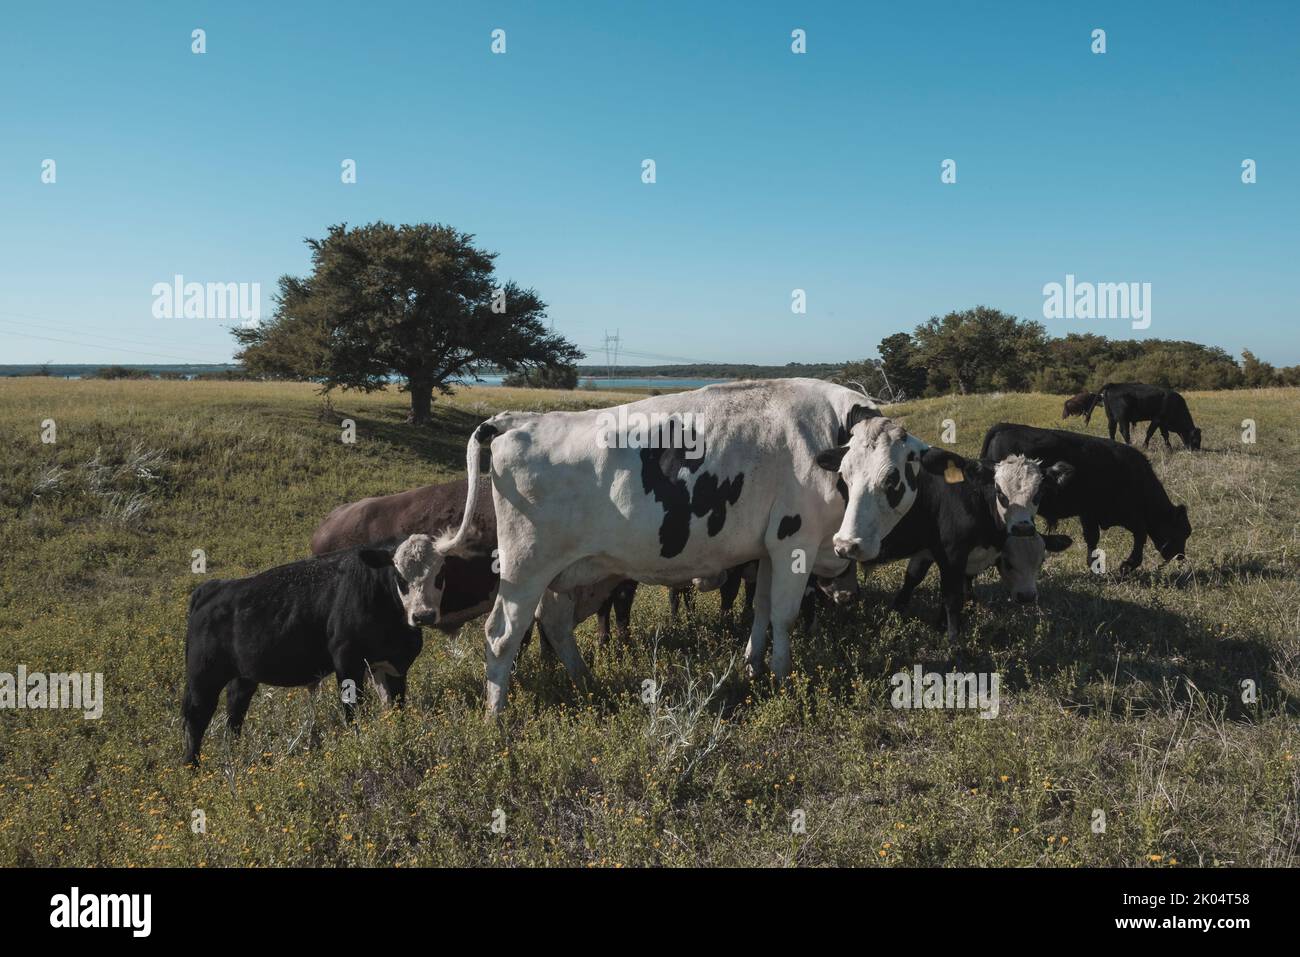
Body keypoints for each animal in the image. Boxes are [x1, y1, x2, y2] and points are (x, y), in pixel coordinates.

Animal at [181, 536, 440, 765]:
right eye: (399, 575)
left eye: (438, 574)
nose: (423, 615)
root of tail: (211, 587)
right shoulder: (347, 660)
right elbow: (352, 708)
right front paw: (358, 743)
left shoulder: (395, 665)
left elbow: (397, 705)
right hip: (203, 675)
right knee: (196, 717)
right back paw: (191, 768)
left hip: (243, 677)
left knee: (234, 713)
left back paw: (233, 757)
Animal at [434, 379, 929, 713]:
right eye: (846, 475)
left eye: (893, 480)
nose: (850, 544)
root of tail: (517, 421)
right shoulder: (796, 541)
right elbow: (785, 615)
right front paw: (782, 677)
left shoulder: (771, 547)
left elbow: (762, 609)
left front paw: (753, 668)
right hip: (525, 568)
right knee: (502, 634)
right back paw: (496, 716)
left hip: (561, 572)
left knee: (553, 623)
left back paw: (585, 682)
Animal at [861, 450, 1074, 639]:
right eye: (1000, 492)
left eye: (1039, 493)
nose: (1023, 528)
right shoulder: (952, 555)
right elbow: (953, 597)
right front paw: (954, 639)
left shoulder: (928, 551)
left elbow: (913, 579)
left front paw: (904, 615)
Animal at [980, 423, 1192, 574]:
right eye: (1183, 531)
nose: (1180, 556)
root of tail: (1004, 426)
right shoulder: (1122, 516)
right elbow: (1138, 536)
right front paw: (1126, 566)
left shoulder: (1089, 514)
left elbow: (1093, 539)